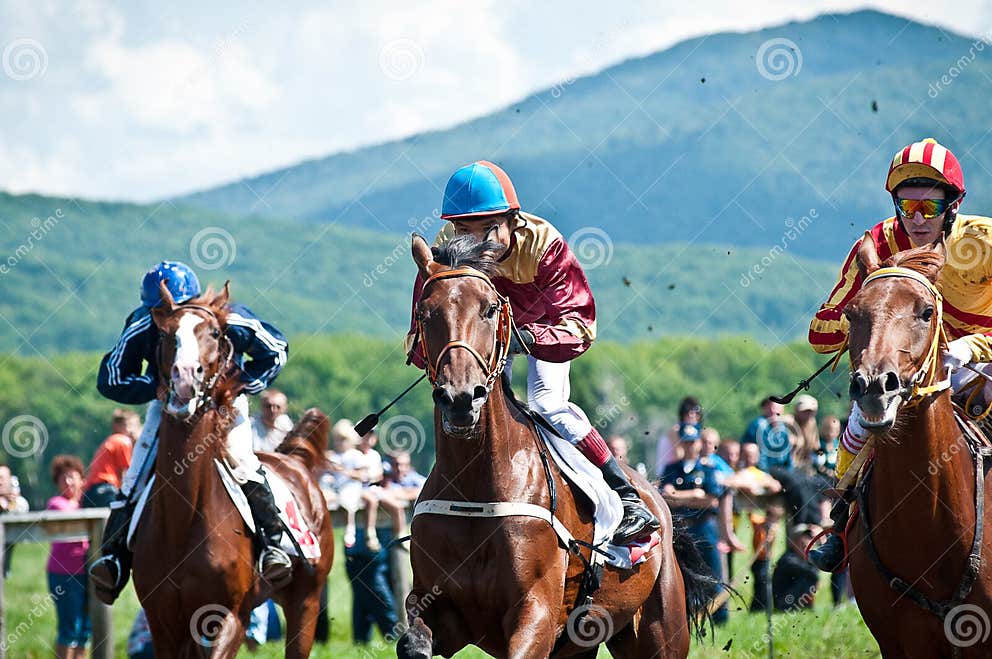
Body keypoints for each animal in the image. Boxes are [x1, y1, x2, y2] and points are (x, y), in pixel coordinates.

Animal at [131, 282, 334, 658]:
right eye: (165, 334)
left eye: (214, 332)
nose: (184, 379)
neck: (184, 520)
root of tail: (294, 460)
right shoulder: (163, 623)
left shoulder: (229, 616)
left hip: (306, 600)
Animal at [396, 235, 716, 659]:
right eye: (425, 312)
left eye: (490, 309)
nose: (461, 399)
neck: (474, 483)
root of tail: (658, 499)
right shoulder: (437, 606)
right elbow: (413, 642)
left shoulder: (537, 612)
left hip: (659, 630)